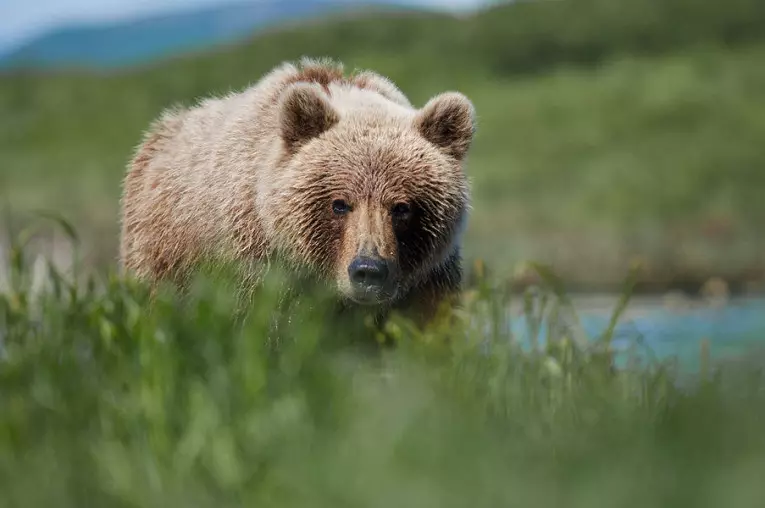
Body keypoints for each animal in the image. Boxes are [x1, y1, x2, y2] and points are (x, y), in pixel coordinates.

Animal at [119, 56, 474, 326]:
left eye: (402, 207)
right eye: (339, 204)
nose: (368, 271)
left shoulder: (427, 281)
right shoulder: (256, 267)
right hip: (160, 257)